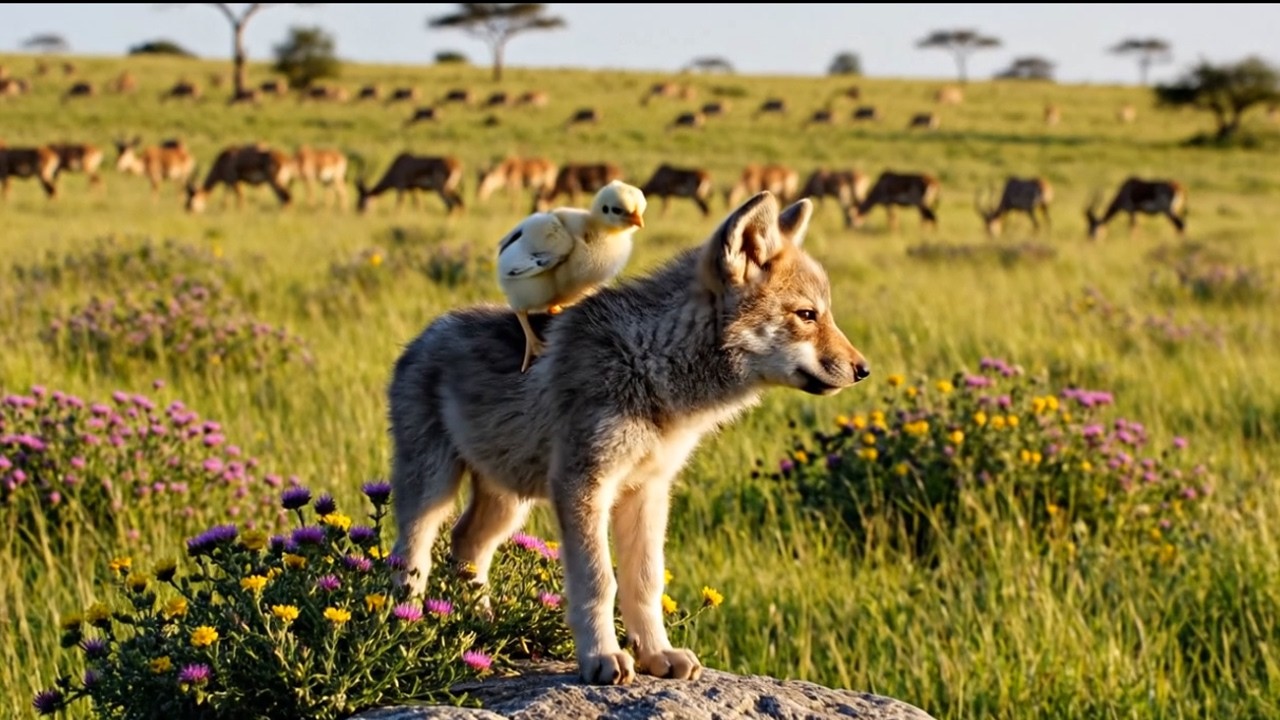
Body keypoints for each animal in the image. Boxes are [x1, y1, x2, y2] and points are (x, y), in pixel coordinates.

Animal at [387, 191, 870, 686]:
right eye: (807, 315)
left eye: (824, 314)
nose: (863, 369)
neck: (649, 361)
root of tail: (421, 336)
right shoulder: (585, 487)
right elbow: (600, 582)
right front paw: (602, 657)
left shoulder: (648, 491)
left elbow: (644, 582)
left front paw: (658, 655)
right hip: (434, 490)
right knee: (410, 557)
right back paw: (409, 625)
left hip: (507, 502)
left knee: (466, 546)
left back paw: (481, 629)